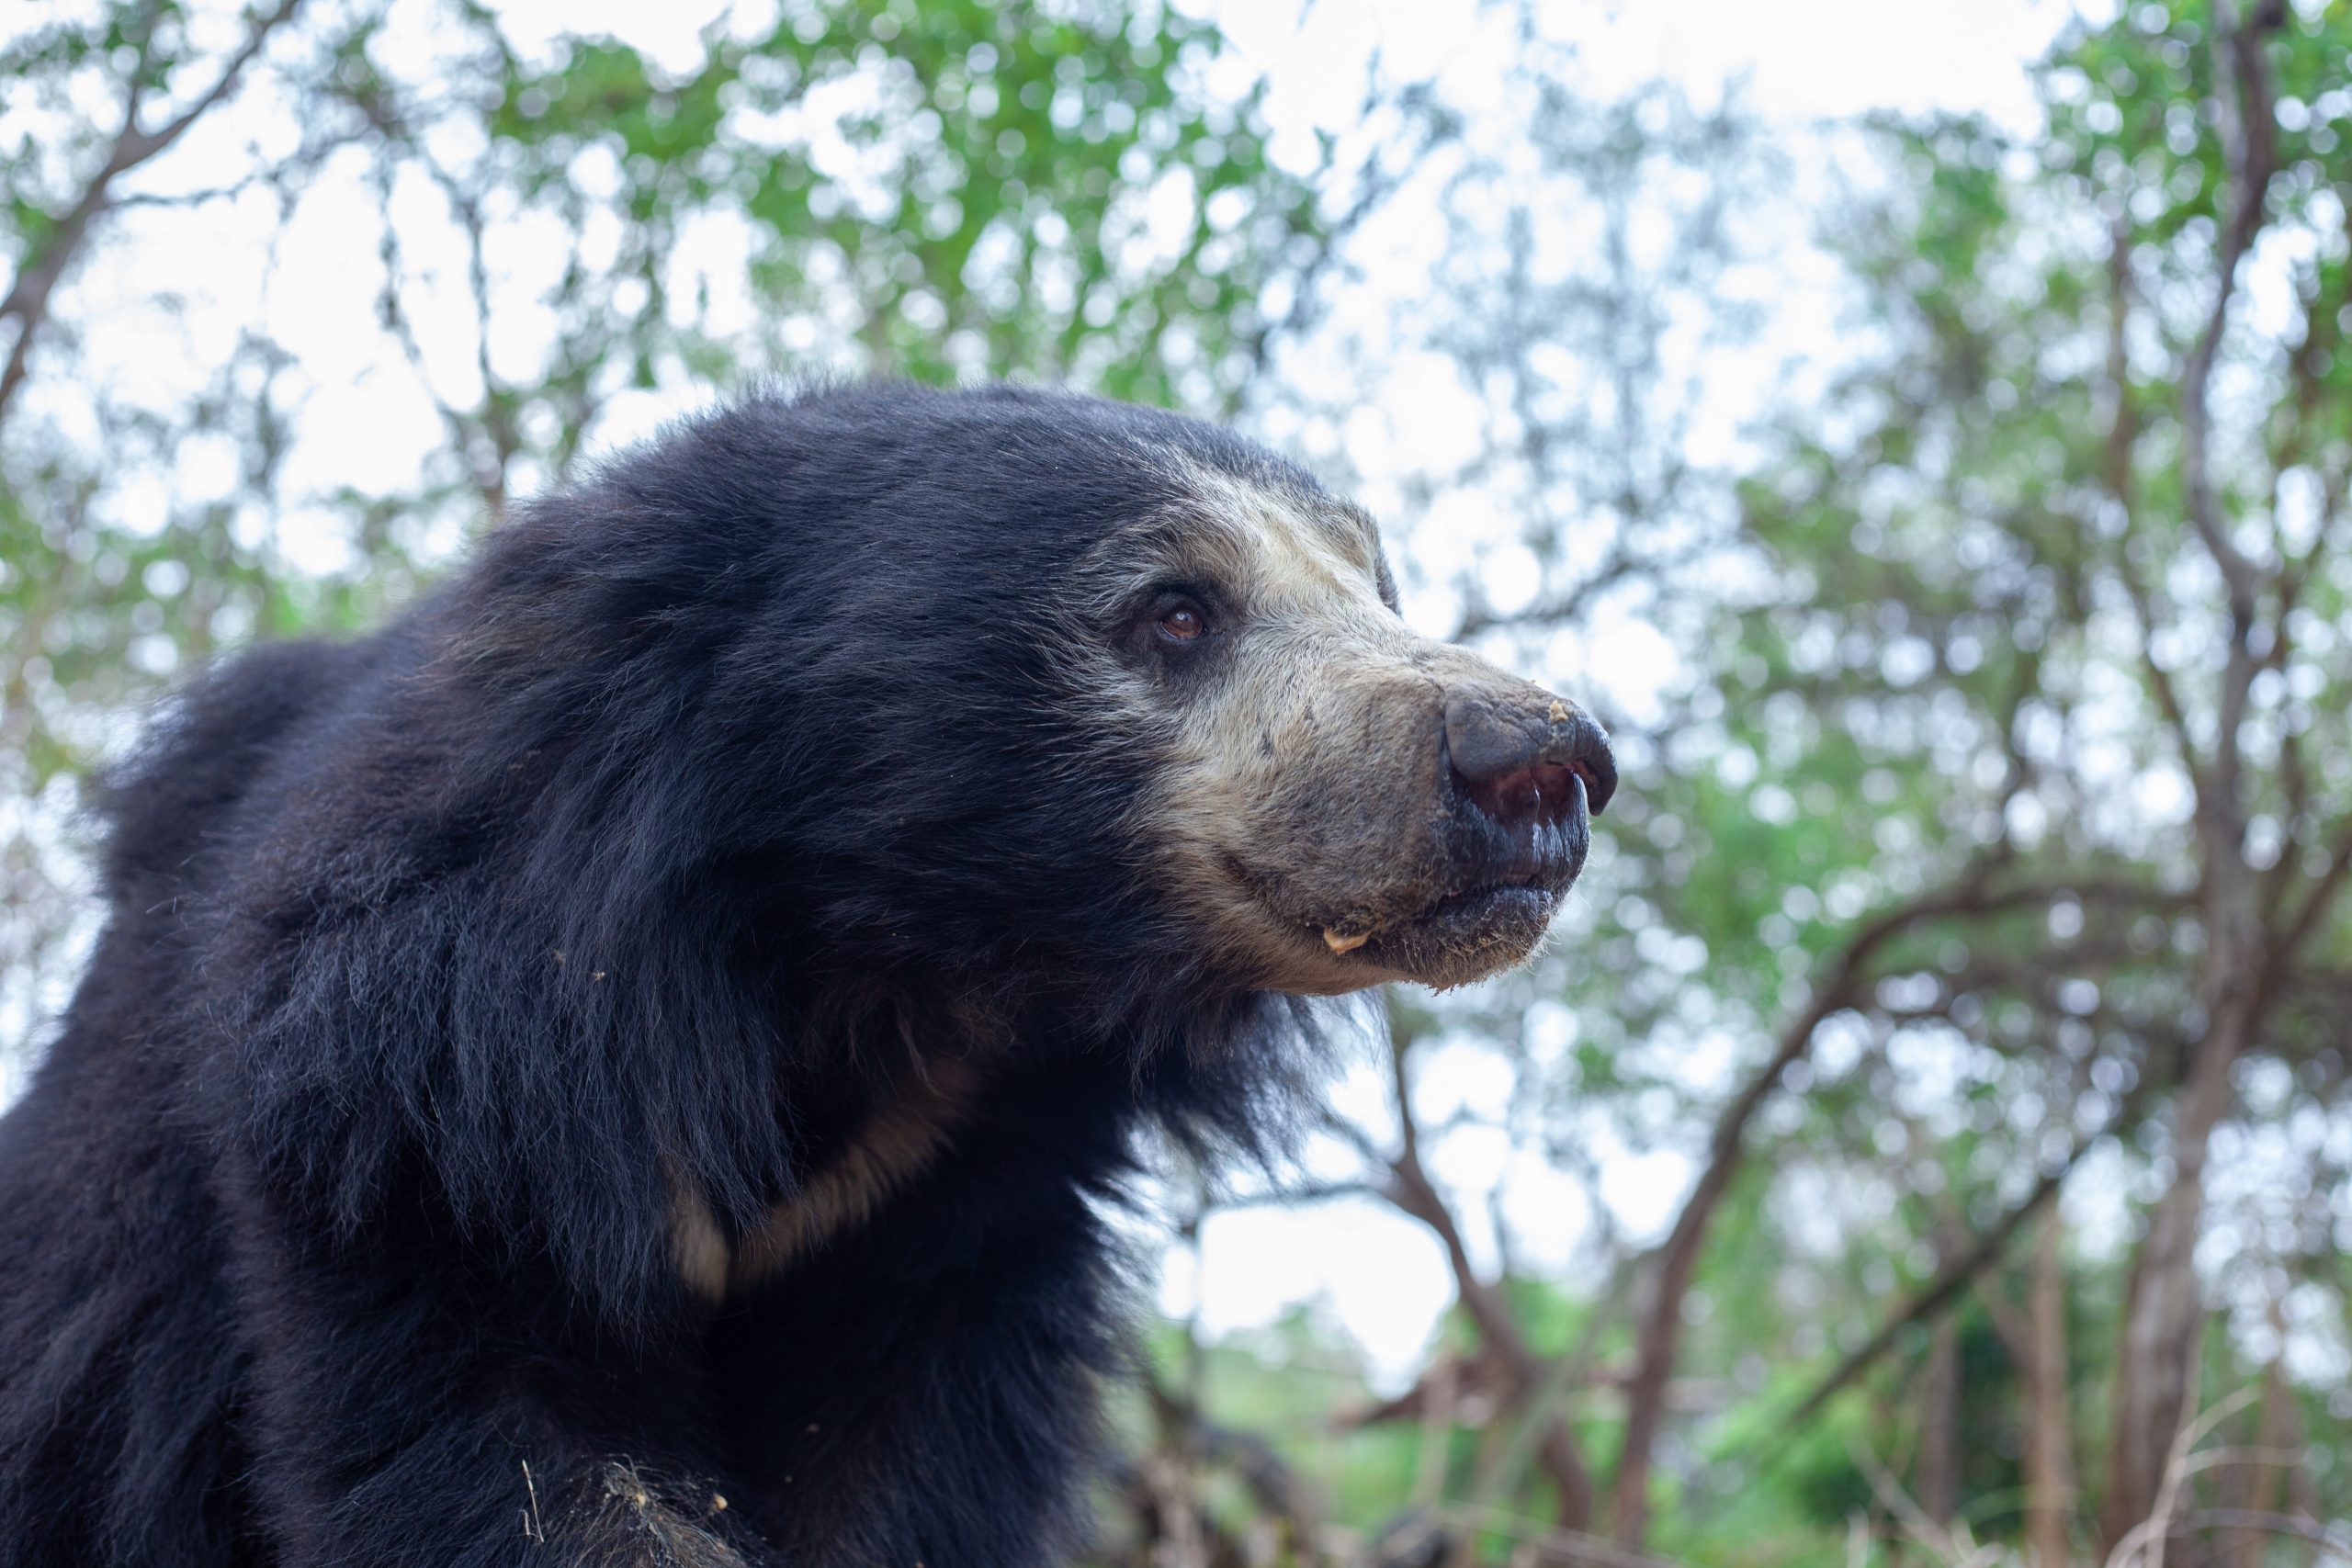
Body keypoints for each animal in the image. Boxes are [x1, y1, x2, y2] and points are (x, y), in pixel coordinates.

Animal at [0, 382, 1615, 1567]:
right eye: (1173, 610)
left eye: (1380, 586)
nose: (1542, 761)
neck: (878, 959)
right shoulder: (422, 1101)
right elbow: (494, 1450)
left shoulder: (954, 1210)